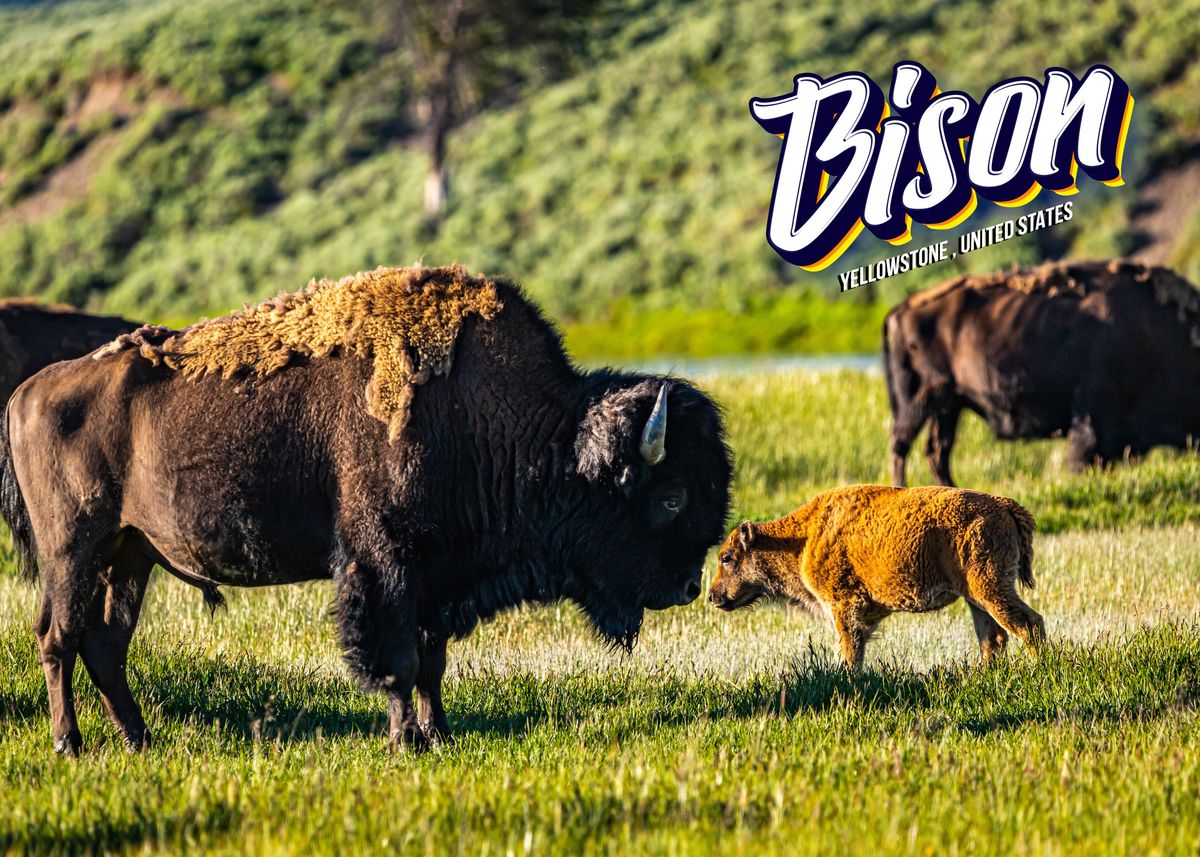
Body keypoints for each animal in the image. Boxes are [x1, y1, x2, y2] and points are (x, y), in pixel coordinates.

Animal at [0, 265, 732, 755]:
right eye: (669, 497)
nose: (687, 586)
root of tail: (29, 392)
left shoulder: (436, 574)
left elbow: (432, 659)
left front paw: (441, 734)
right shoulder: (385, 562)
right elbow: (398, 659)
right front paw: (405, 739)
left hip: (132, 553)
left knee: (105, 642)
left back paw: (138, 740)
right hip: (75, 548)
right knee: (57, 635)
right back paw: (70, 744)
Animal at [883, 259, 1200, 487]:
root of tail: (900, 309)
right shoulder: (1092, 423)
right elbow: (1083, 457)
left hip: (949, 406)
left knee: (937, 450)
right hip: (918, 400)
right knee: (901, 444)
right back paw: (902, 490)